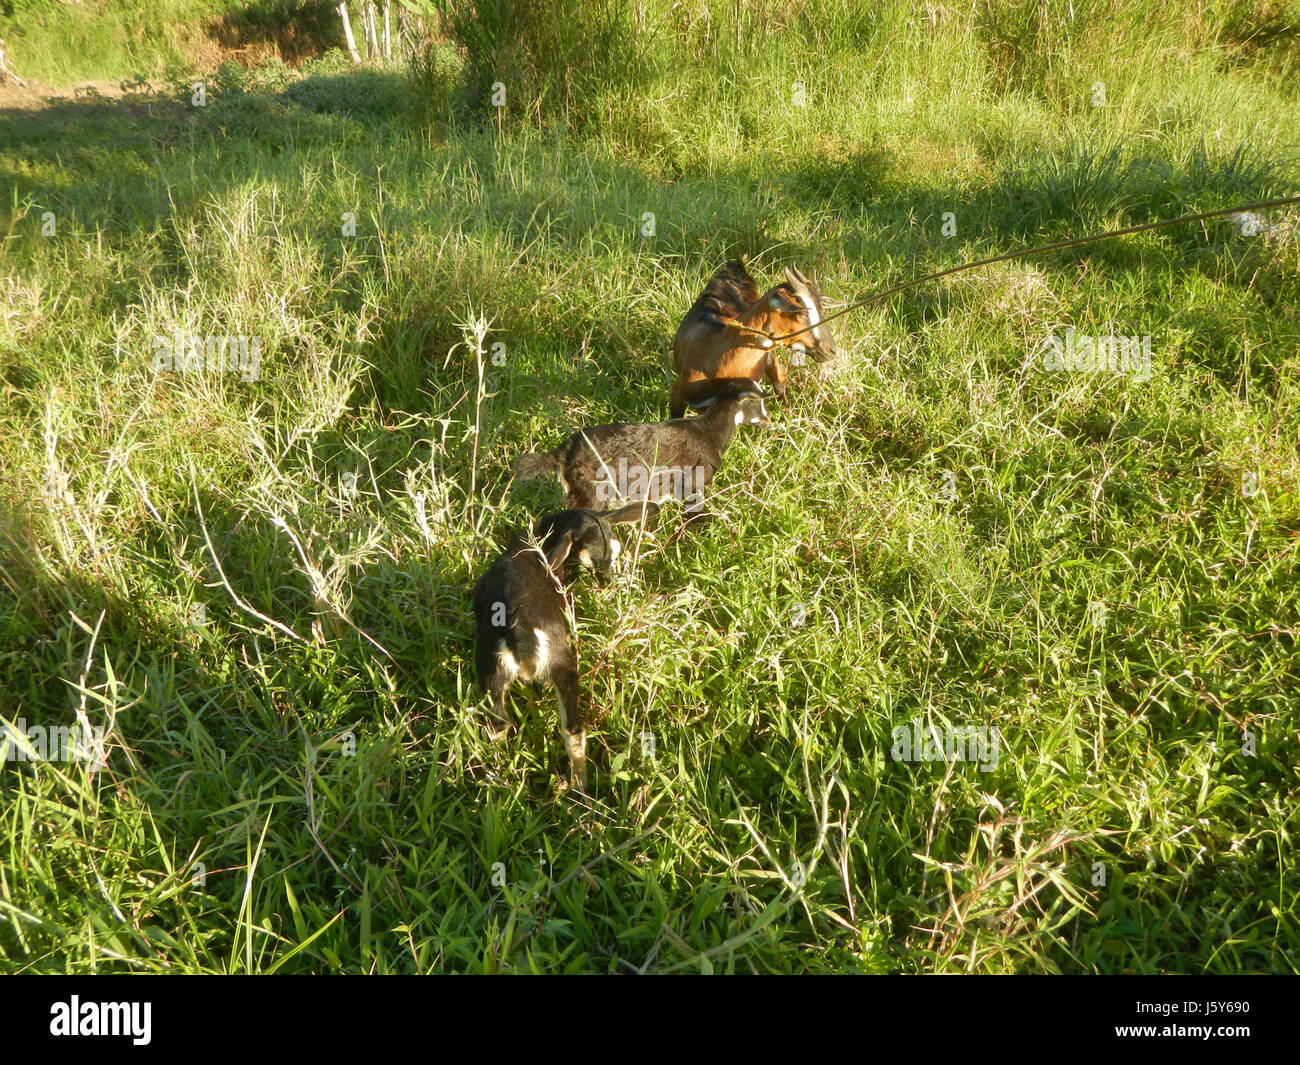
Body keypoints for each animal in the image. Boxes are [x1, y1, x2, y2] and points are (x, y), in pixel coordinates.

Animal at [472, 501, 658, 788]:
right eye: (593, 558)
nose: (607, 582)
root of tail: (518, 628)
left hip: (490, 672)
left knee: (498, 725)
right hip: (562, 665)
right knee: (573, 728)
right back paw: (580, 785)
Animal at [513, 378, 771, 513]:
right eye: (757, 402)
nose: (768, 421)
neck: (709, 433)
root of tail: (562, 453)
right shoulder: (693, 483)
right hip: (590, 493)